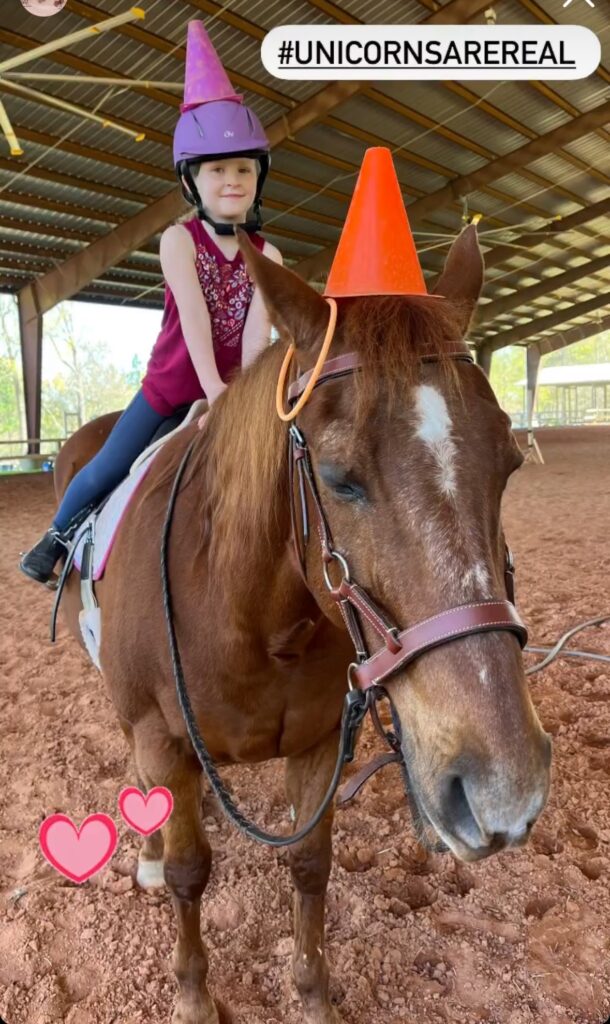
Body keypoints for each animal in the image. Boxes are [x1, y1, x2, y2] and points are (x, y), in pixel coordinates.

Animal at [54, 225, 551, 1024]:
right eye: (341, 478)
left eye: (509, 462)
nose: (506, 789)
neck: (254, 622)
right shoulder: (161, 734)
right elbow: (191, 871)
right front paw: (193, 996)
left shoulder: (320, 743)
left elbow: (311, 866)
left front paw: (313, 995)